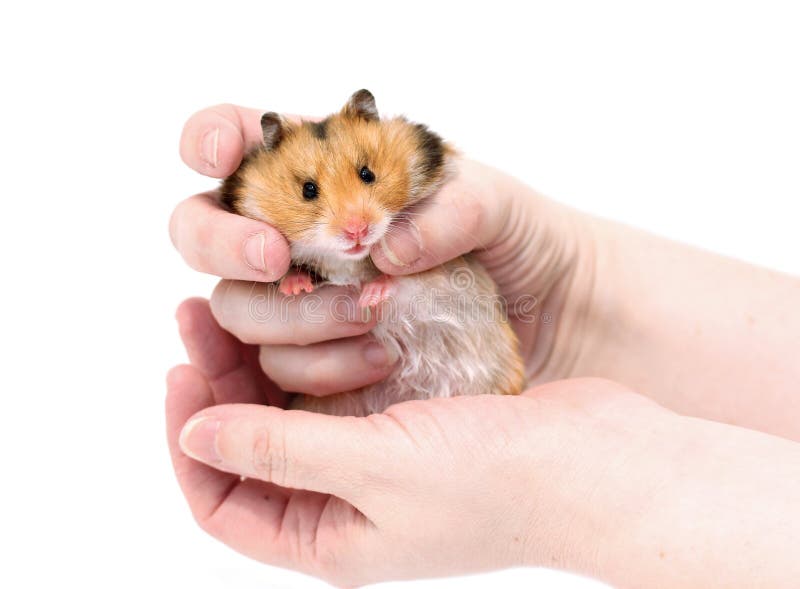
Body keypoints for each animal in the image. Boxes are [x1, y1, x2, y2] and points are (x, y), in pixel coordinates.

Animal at [221, 89, 524, 416]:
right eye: (308, 189)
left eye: (367, 173)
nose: (357, 231)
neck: (353, 262)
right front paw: (296, 287)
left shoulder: (448, 268)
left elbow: (412, 279)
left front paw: (370, 295)